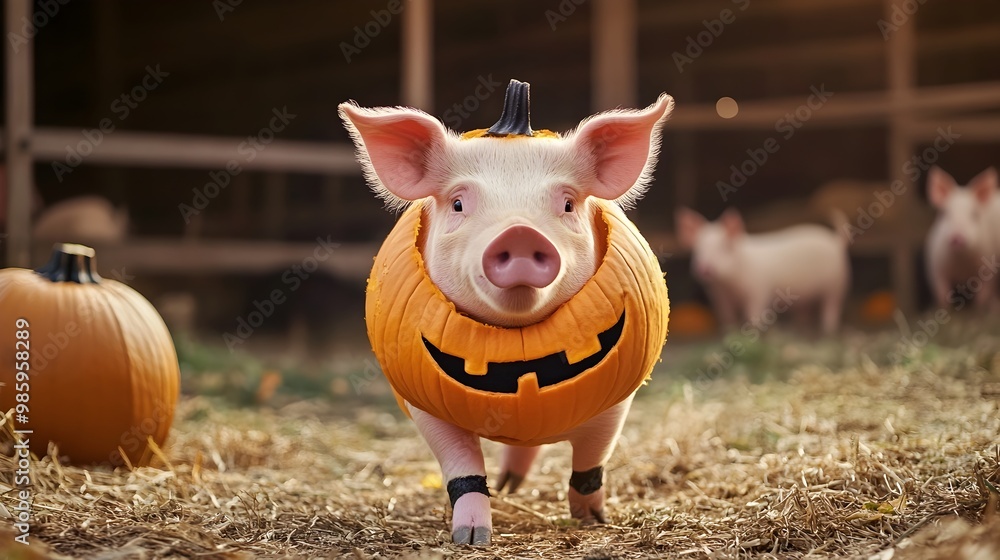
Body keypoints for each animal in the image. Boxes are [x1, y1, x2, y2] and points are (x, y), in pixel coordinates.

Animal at [340, 84, 674, 545]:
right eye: (458, 204)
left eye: (567, 204)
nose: (519, 233)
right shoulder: (423, 403)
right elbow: (461, 465)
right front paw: (472, 539)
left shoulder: (617, 396)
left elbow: (591, 459)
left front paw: (594, 520)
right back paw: (506, 487)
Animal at [676, 207, 850, 334]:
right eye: (698, 250)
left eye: (724, 248)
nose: (704, 268)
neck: (728, 285)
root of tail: (835, 242)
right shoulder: (719, 297)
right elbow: (726, 315)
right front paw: (728, 331)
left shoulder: (759, 289)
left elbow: (753, 312)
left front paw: (753, 330)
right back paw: (800, 325)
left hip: (837, 283)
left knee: (832, 306)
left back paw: (828, 328)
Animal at [924, 166, 1000, 310]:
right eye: (945, 213)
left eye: (975, 214)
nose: (957, 237)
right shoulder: (935, 268)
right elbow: (942, 291)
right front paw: (945, 307)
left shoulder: (988, 269)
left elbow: (984, 293)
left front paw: (978, 307)